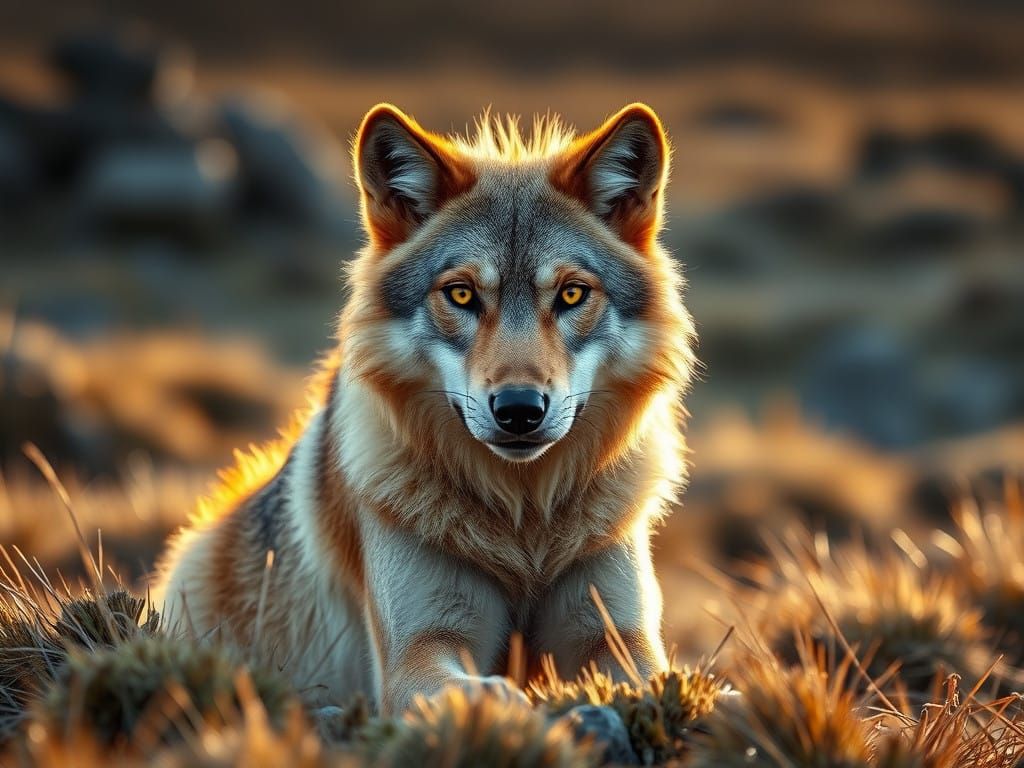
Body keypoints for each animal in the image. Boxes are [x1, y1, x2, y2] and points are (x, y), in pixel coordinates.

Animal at [154, 102, 696, 714]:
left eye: (572, 294)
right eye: (461, 294)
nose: (519, 409)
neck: (524, 528)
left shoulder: (616, 635)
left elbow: (659, 680)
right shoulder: (417, 649)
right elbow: (465, 689)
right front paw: (501, 705)